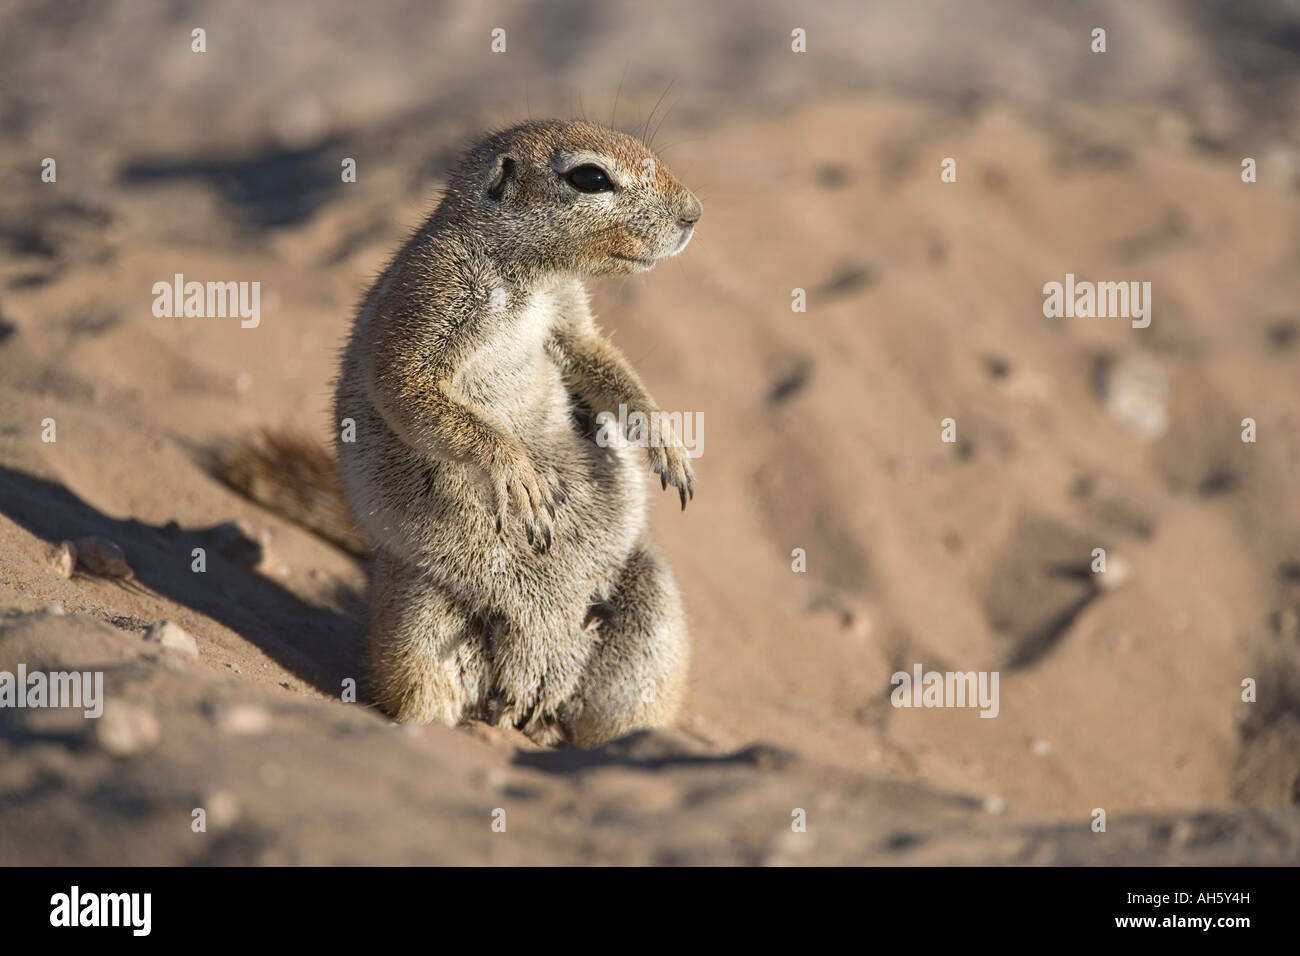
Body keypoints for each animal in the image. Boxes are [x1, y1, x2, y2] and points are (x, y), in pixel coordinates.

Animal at [223, 120, 702, 747]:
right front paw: (515, 471)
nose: (694, 214)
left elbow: (603, 362)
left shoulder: (568, 317)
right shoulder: (430, 294)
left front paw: (664, 439)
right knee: (432, 695)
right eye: (591, 178)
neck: (529, 280)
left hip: (650, 613)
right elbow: (408, 387)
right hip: (419, 620)